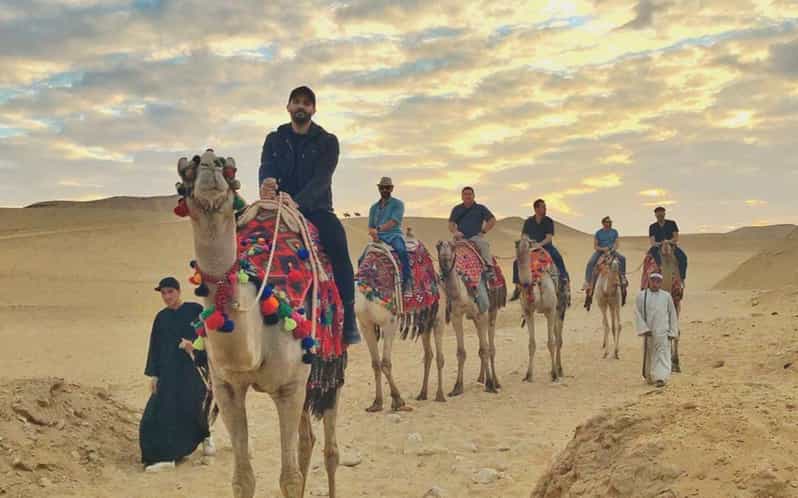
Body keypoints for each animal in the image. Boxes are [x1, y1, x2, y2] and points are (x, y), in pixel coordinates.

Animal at [178, 150, 341, 498]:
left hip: (329, 365)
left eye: (229, 168)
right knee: (308, 441)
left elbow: (289, 478)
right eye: (186, 171)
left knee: (330, 449)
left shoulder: (289, 388)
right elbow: (243, 479)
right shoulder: (226, 388)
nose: (208, 162)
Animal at [356, 239, 445, 412]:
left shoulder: (387, 324)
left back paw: (439, 395)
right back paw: (424, 394)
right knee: (429, 354)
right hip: (426, 321)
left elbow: (384, 363)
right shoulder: (366, 326)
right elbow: (376, 364)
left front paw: (396, 400)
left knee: (438, 356)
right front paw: (378, 402)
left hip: (435, 319)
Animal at [436, 240, 505, 395]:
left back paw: (496, 382)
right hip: (474, 318)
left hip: (492, 311)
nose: (445, 258)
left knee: (490, 348)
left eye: (452, 248)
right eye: (438, 247)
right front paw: (457, 387)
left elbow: (485, 350)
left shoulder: (482, 313)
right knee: (482, 346)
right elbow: (461, 352)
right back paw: (481, 378)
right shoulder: (456, 316)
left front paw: (490, 385)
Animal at [515, 237, 567, 382]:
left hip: (560, 310)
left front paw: (555, 375)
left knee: (558, 338)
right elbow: (531, 344)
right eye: (517, 245)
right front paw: (528, 375)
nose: (521, 256)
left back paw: (559, 369)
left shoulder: (550, 310)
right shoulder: (528, 312)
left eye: (528, 245)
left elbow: (551, 343)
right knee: (556, 335)